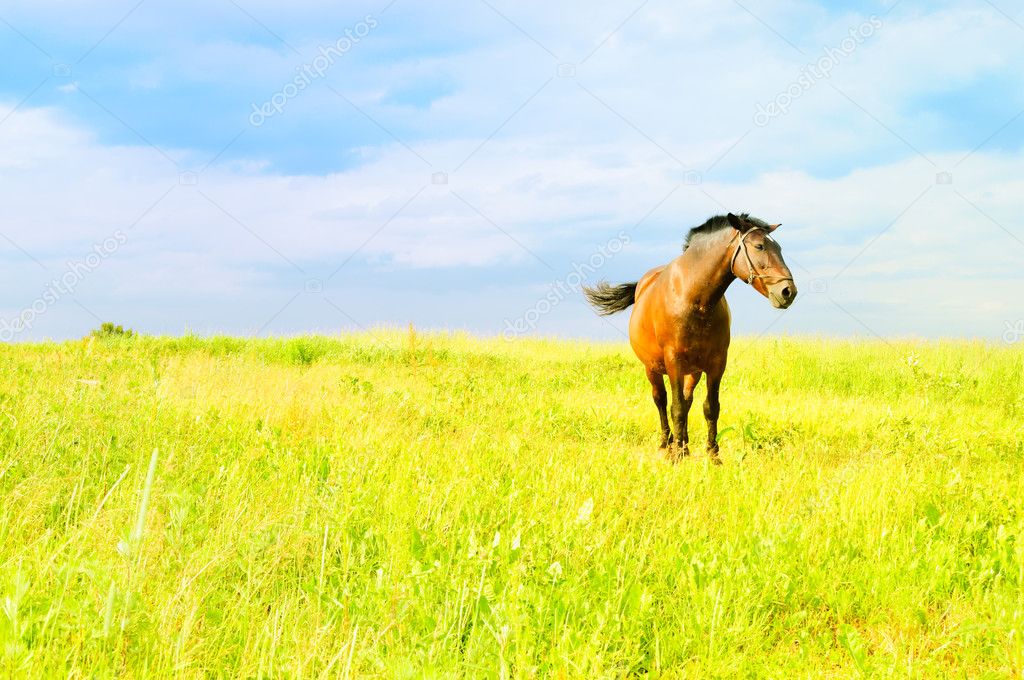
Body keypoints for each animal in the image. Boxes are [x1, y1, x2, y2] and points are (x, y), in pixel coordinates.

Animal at [583, 213, 797, 463]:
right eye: (759, 246)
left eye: (779, 248)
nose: (788, 291)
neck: (695, 298)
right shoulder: (674, 360)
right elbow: (674, 408)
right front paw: (675, 457)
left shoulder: (716, 363)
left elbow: (710, 407)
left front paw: (713, 455)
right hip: (652, 369)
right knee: (661, 400)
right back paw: (666, 445)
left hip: (692, 372)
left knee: (686, 402)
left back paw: (683, 445)